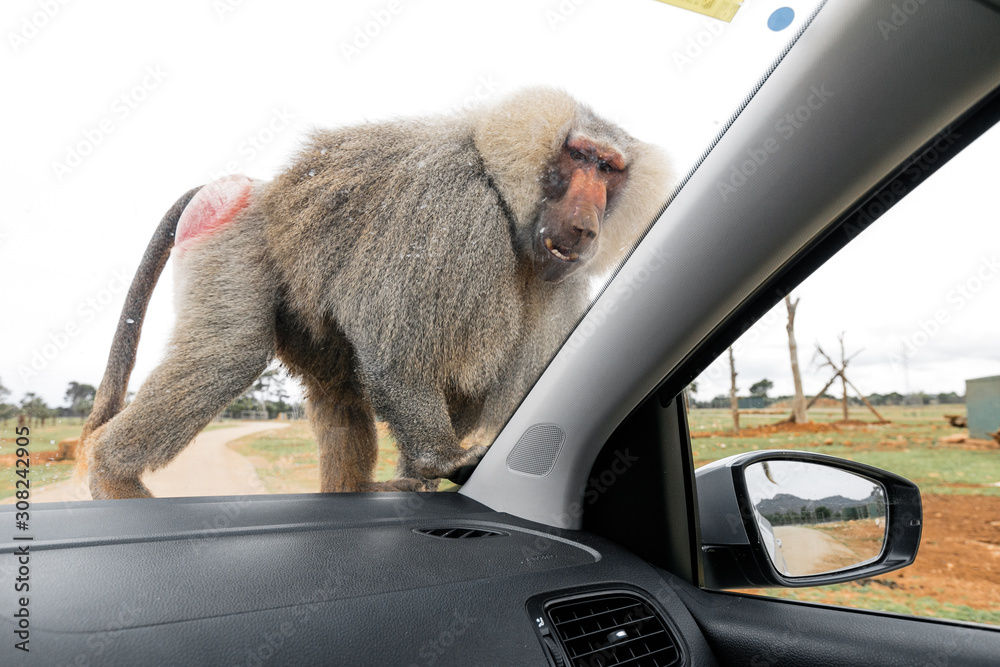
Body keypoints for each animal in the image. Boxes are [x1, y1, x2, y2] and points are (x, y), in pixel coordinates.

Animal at [78, 87, 672, 499]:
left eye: (610, 169)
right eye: (581, 157)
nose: (586, 227)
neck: (507, 205)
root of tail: (261, 185)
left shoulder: (559, 281)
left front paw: (424, 477)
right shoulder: (453, 211)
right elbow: (394, 349)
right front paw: (439, 462)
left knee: (337, 392)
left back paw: (352, 492)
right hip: (234, 234)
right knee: (227, 353)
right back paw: (111, 474)